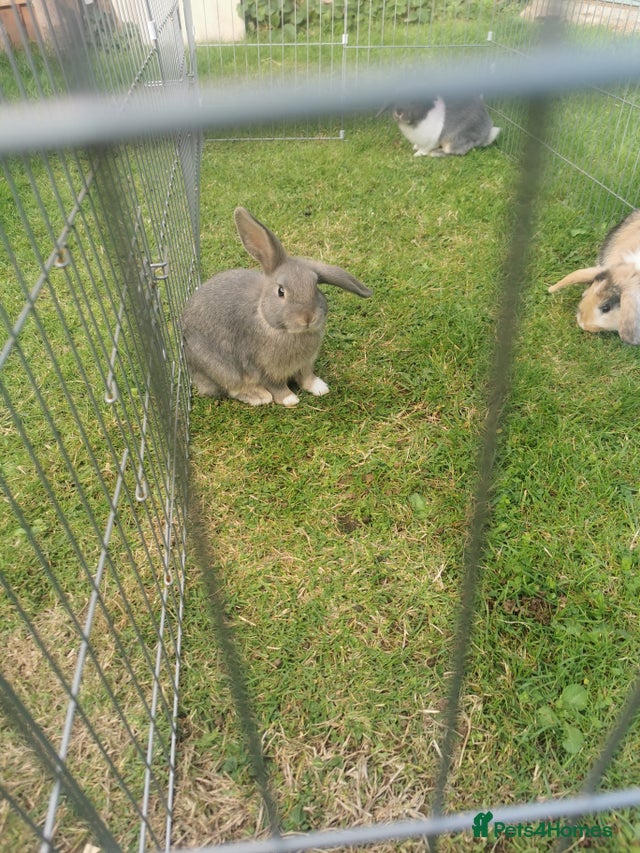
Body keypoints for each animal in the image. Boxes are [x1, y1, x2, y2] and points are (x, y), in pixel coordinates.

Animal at [181, 207, 372, 407]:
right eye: (281, 291)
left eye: (315, 287)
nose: (307, 318)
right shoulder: (262, 368)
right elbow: (276, 386)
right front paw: (290, 399)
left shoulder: (305, 364)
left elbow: (307, 377)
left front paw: (320, 388)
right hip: (220, 369)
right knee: (233, 389)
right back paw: (260, 396)